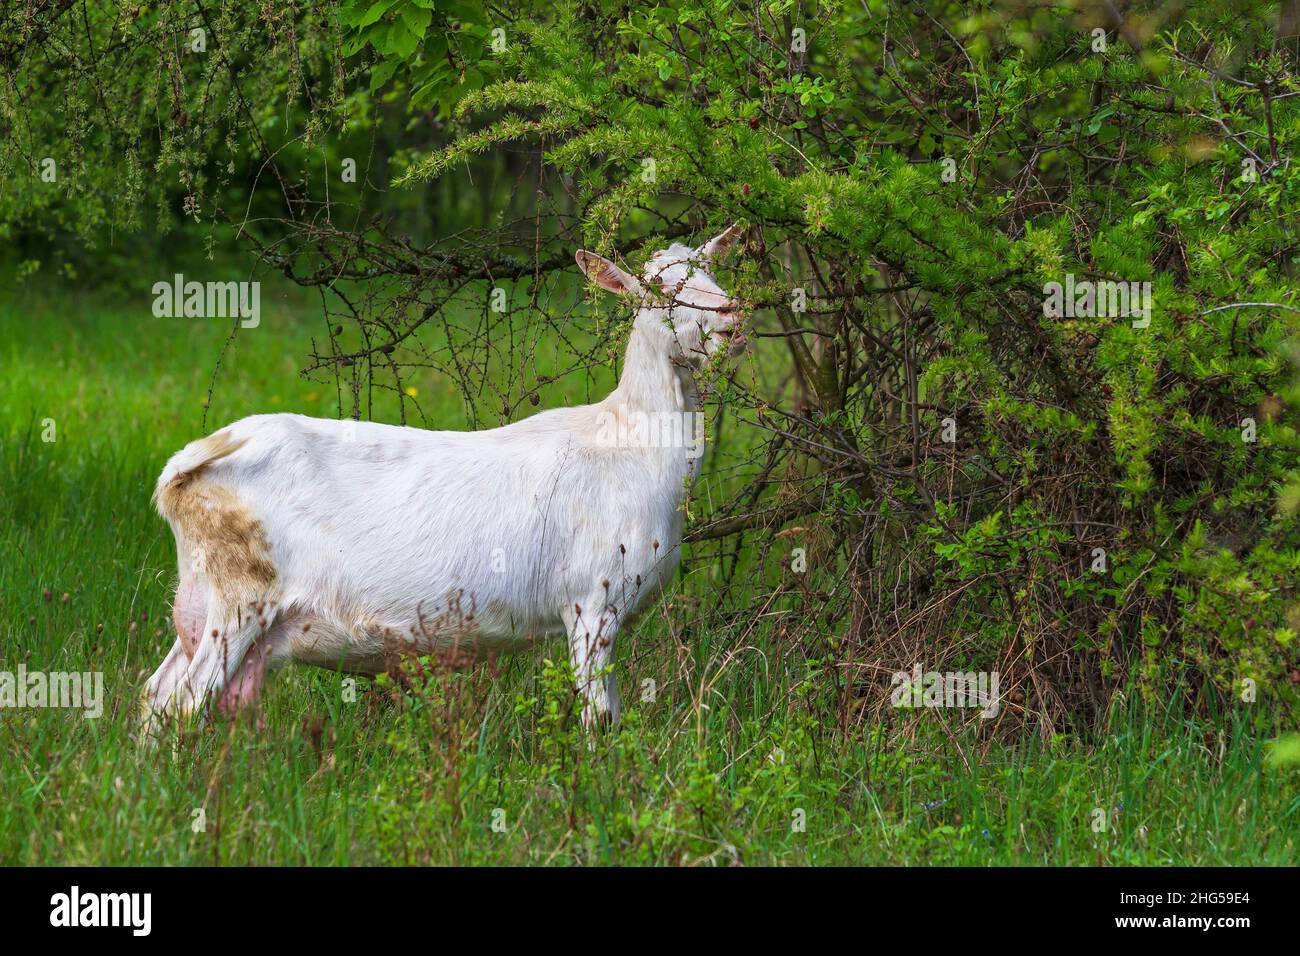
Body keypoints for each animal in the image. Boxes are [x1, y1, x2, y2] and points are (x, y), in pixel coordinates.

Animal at [142, 225, 746, 734]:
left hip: (205, 605)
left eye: (714, 269)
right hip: (240, 595)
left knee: (157, 693)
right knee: (184, 700)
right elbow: (600, 720)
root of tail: (190, 461)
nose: (734, 316)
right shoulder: (593, 603)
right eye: (659, 288)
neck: (633, 445)